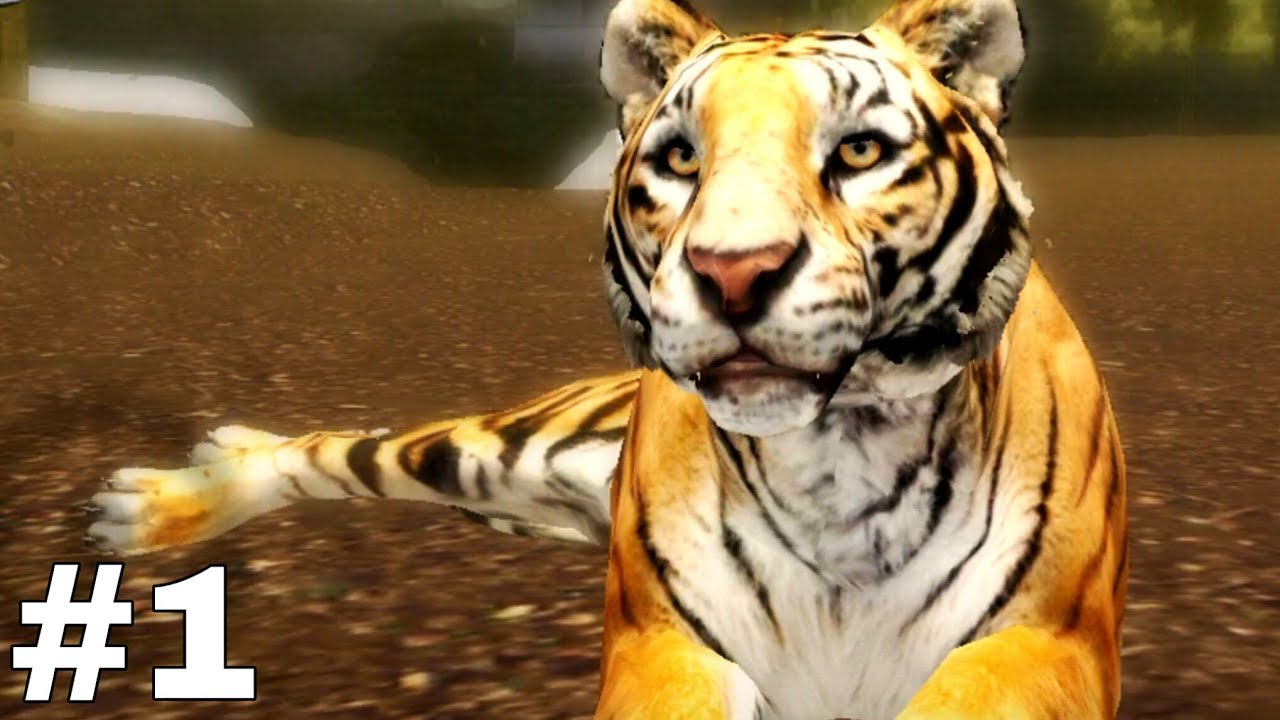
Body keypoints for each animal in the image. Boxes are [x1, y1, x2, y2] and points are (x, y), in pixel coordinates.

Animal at [85, 0, 1129, 717]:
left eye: (861, 152)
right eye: (679, 159)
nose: (734, 271)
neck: (837, 460)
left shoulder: (1049, 635)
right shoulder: (663, 638)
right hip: (492, 456)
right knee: (341, 453)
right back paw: (163, 501)